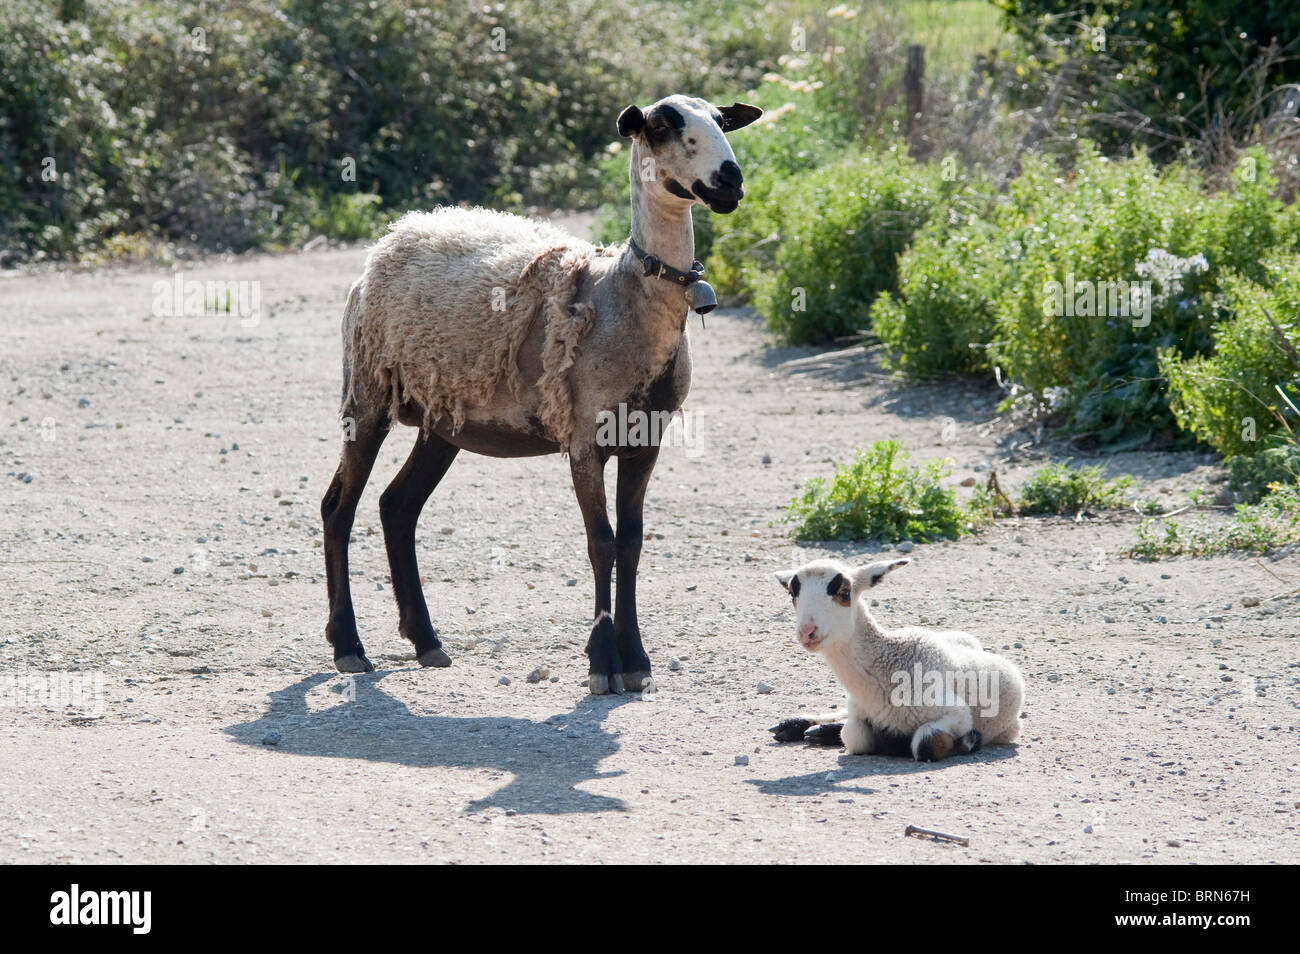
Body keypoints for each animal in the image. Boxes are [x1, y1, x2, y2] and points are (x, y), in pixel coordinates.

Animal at [322, 94, 762, 692]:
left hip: (444, 419)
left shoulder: (646, 440)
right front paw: (602, 664)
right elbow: (601, 543)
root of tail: (390, 240)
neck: (623, 294)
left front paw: (636, 661)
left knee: (397, 506)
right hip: (365, 394)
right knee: (339, 508)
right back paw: (349, 647)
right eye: (662, 126)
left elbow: (632, 542)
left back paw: (426, 641)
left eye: (721, 120)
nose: (729, 181)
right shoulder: (582, 439)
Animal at [769, 557, 1024, 761]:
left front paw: (969, 742)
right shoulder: (858, 710)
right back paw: (795, 726)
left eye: (844, 593)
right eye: (793, 594)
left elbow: (927, 745)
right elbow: (853, 735)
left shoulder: (957, 713)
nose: (807, 631)